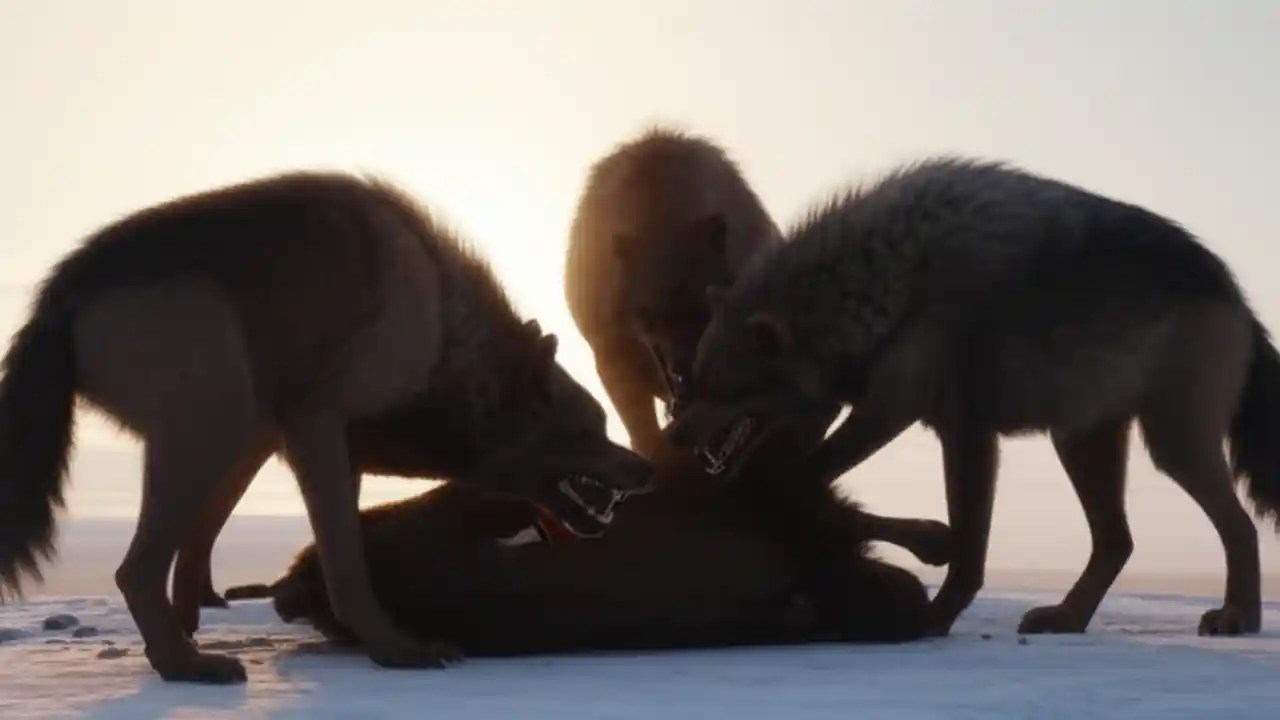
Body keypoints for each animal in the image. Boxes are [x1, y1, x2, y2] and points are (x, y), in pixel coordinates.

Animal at [0, 173, 650, 683]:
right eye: (589, 428)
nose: (647, 469)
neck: (441, 342)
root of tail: (55, 300)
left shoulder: (303, 442)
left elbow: (222, 553)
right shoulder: (318, 432)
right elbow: (346, 563)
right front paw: (396, 652)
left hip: (232, 432)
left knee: (171, 553)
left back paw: (180, 649)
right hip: (215, 421)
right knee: (135, 569)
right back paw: (185, 666)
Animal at [669, 157, 1280, 638]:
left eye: (725, 391)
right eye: (693, 384)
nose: (672, 436)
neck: (884, 284)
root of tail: (1241, 303)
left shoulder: (921, 420)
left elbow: (953, 544)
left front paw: (932, 617)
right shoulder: (956, 431)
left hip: (1171, 447)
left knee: (1240, 527)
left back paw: (1238, 617)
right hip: (1080, 440)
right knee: (1117, 541)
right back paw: (1067, 617)